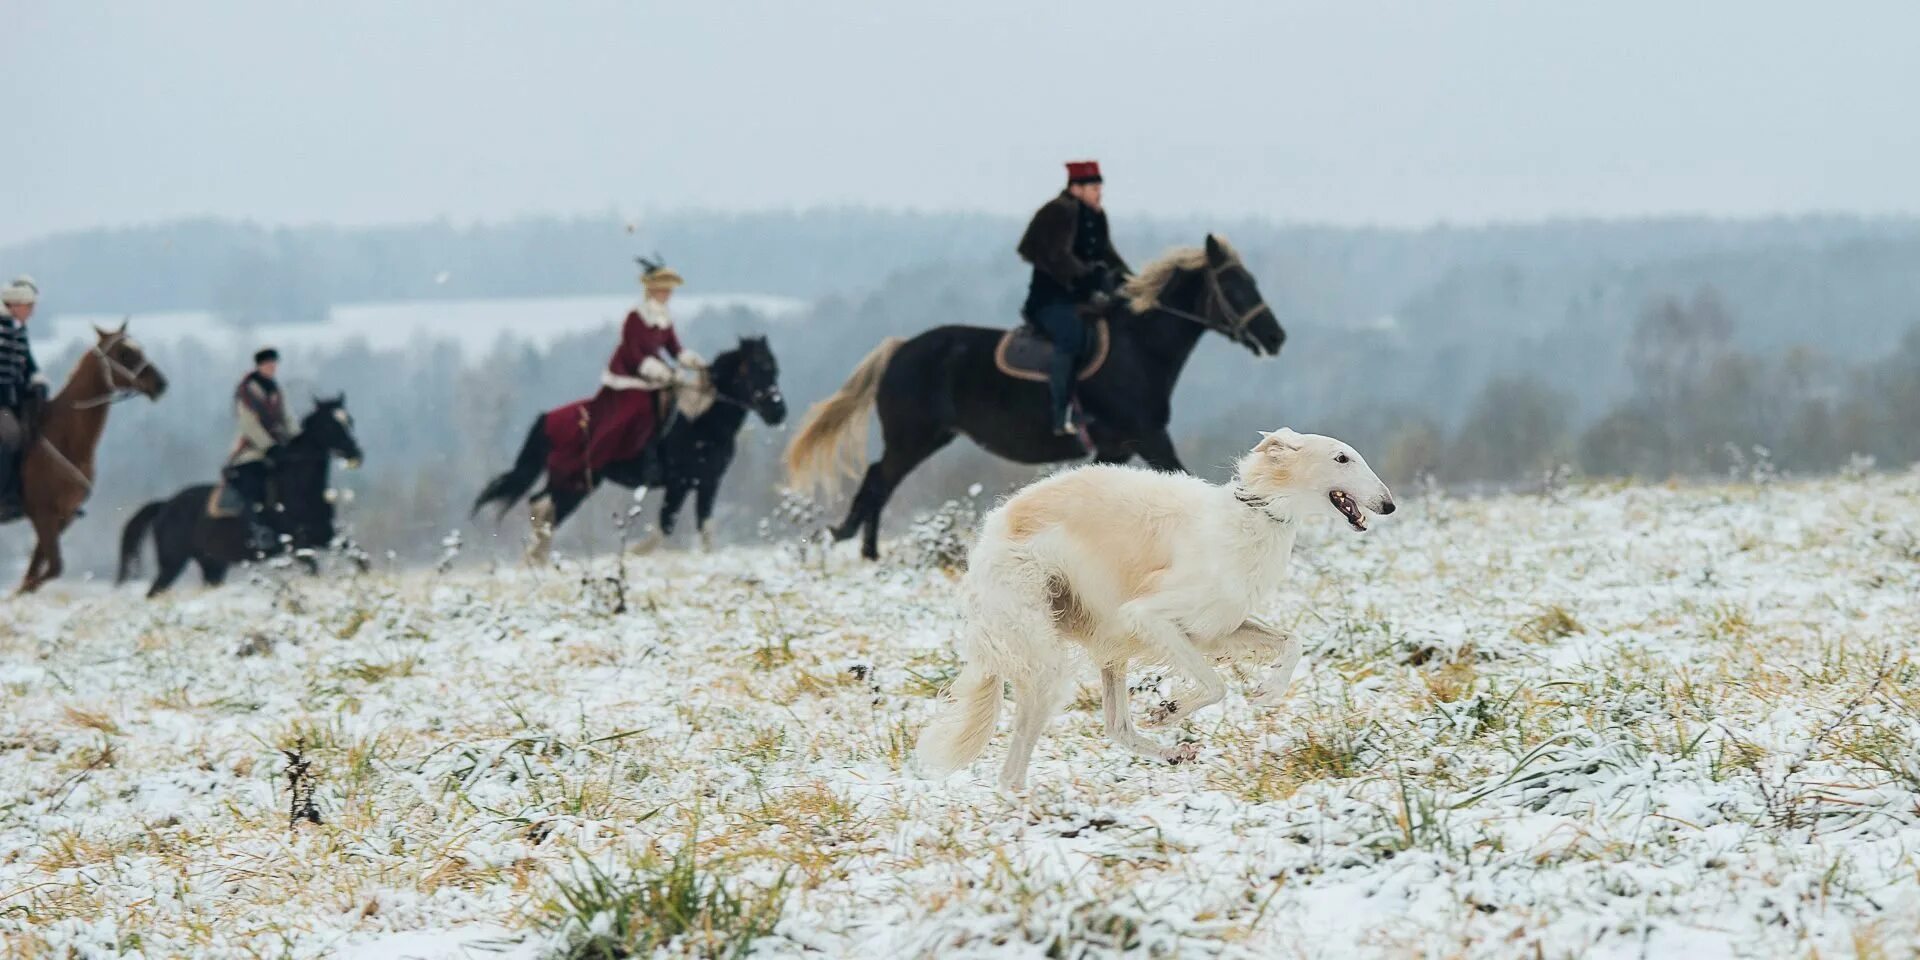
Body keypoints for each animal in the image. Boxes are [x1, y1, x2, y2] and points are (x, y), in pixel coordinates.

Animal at [9, 322, 168, 591]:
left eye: (140, 348)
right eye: (125, 353)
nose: (160, 383)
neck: (66, 438)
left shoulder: (62, 517)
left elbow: (36, 571)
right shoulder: (43, 514)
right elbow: (50, 569)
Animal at [117, 395, 366, 591]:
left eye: (350, 420)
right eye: (330, 425)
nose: (356, 454)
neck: (300, 488)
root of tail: (166, 504)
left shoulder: (325, 535)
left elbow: (360, 557)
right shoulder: (298, 545)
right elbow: (314, 570)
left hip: (212, 564)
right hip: (173, 563)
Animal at [472, 336, 787, 556]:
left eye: (775, 369)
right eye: (756, 369)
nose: (778, 412)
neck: (700, 419)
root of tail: (547, 418)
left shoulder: (708, 483)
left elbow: (706, 528)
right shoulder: (679, 483)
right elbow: (665, 526)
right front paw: (631, 554)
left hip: (574, 482)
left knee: (541, 506)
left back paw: (538, 559)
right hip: (573, 483)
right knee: (544, 508)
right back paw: (536, 558)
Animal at [787, 235, 1282, 560]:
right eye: (1236, 286)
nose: (1276, 337)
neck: (1139, 348)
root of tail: (900, 348)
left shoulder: (1116, 446)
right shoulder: (1149, 436)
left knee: (880, 480)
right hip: (913, 438)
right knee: (878, 478)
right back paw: (859, 545)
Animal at [913, 432, 1397, 791]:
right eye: (1341, 457)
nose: (1389, 504)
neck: (1251, 518)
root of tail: (990, 533)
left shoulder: (1217, 627)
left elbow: (1291, 642)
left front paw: (1266, 691)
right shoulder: (1148, 617)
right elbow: (1215, 683)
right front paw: (1171, 709)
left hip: (1108, 647)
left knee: (1116, 727)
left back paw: (1171, 753)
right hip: (1045, 650)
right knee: (1012, 768)